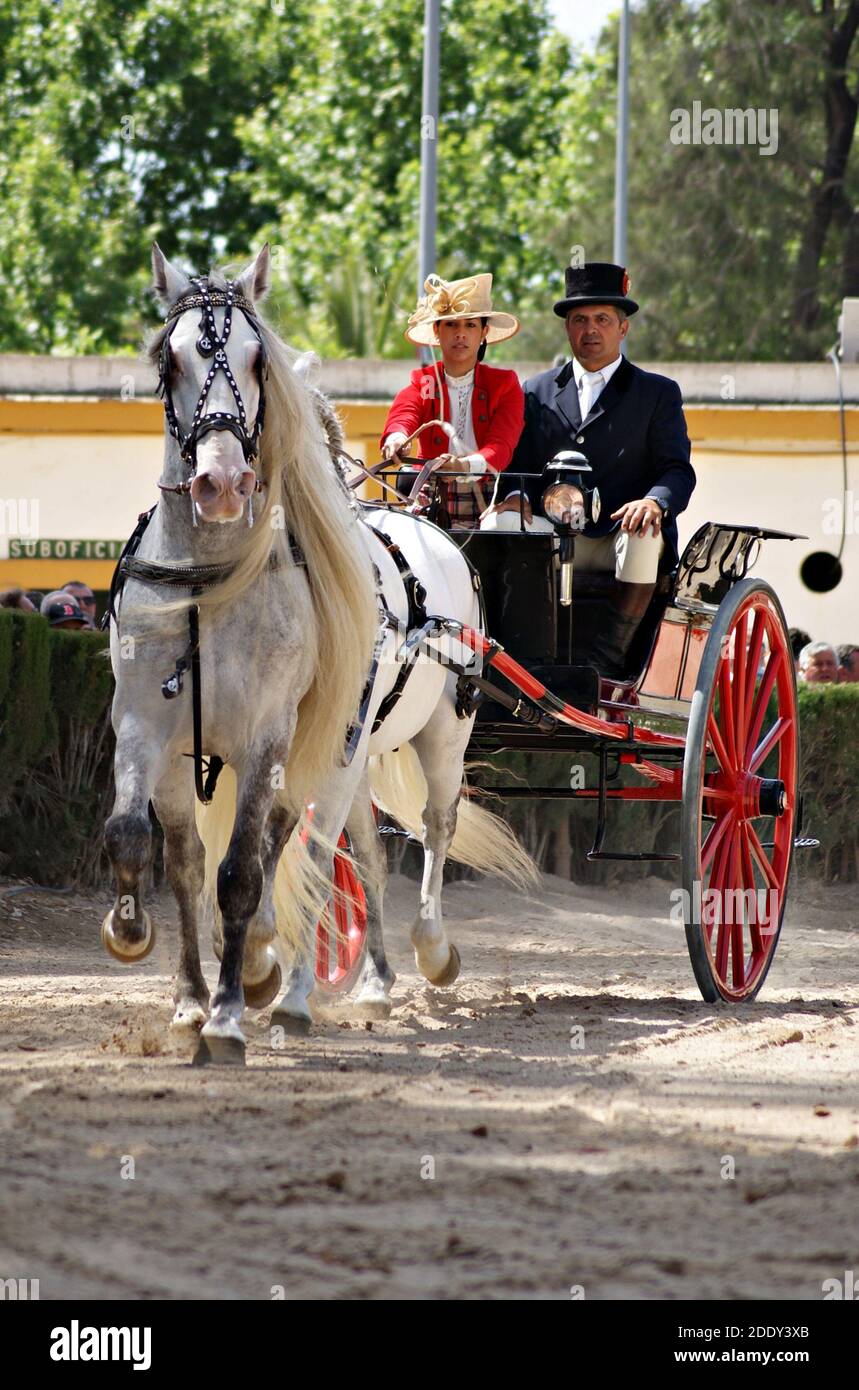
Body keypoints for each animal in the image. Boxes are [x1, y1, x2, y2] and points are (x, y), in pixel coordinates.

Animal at [103, 243, 534, 1064]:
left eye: (257, 359)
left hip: (424, 734)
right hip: (349, 753)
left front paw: (229, 1013)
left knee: (412, 829)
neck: (210, 579)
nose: (221, 481)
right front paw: (170, 976)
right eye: (169, 360)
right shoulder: (147, 726)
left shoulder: (269, 733)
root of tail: (427, 521)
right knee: (356, 850)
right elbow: (154, 847)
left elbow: (244, 871)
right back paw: (360, 980)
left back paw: (375, 967)